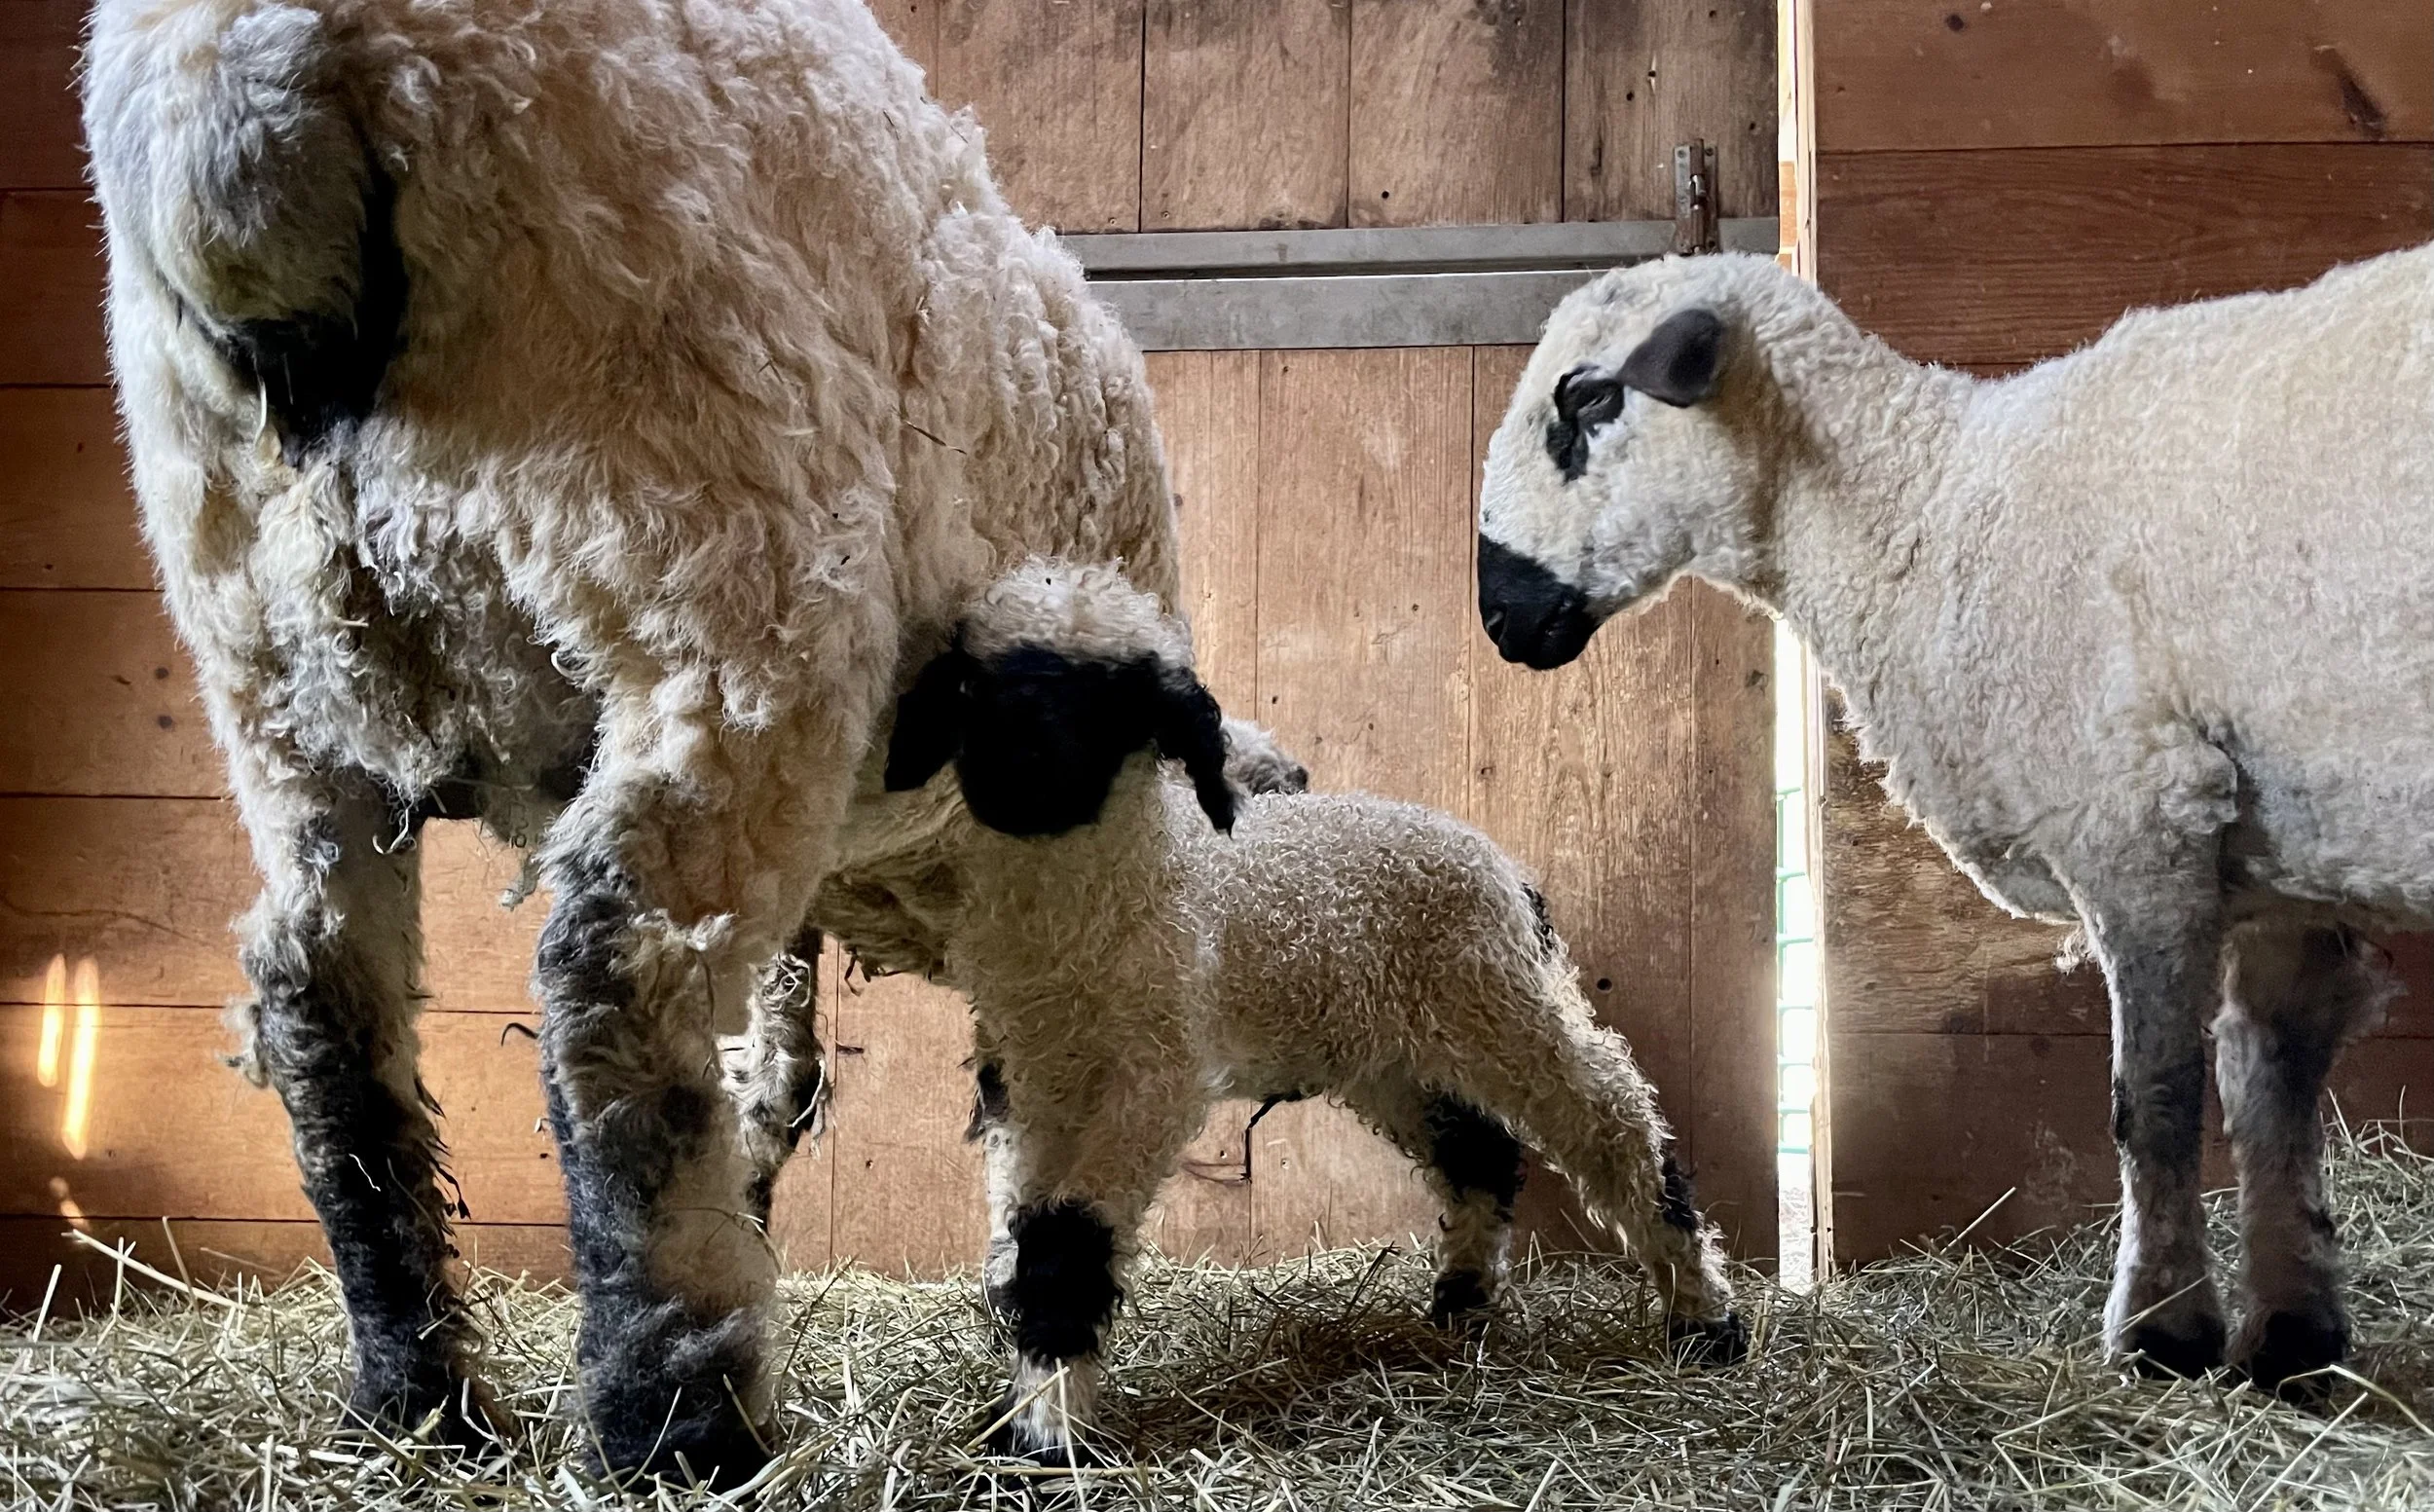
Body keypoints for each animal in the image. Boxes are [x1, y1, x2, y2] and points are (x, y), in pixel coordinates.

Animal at [83, 0, 1181, 1478]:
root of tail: (244, 94)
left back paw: (419, 1398)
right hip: (708, 570)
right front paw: (1045, 1402)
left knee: (323, 999)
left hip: (265, 651)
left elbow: (778, 1072)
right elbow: (1036, 1116)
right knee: (620, 979)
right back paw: (679, 1419)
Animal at [882, 558, 1745, 1463]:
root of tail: (1510, 872)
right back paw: (1463, 1301)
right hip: (1396, 1053)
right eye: (972, 682)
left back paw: (1705, 1317)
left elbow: (1069, 1240)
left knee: (1613, 1120)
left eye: (1121, 697)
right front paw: (1026, 1402)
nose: (1018, 771)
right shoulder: (1027, 1073)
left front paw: (1045, 1436)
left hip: (1503, 999)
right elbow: (1023, 1233)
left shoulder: (1152, 1070)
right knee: (1478, 1150)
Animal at [1473, 244, 2434, 1392]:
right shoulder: (2285, 859)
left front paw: (2162, 1331)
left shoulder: (2132, 813)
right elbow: (2273, 1083)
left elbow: (2153, 1102)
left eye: (1588, 399)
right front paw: (2290, 1335)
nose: (1495, 610)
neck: (1926, 513)